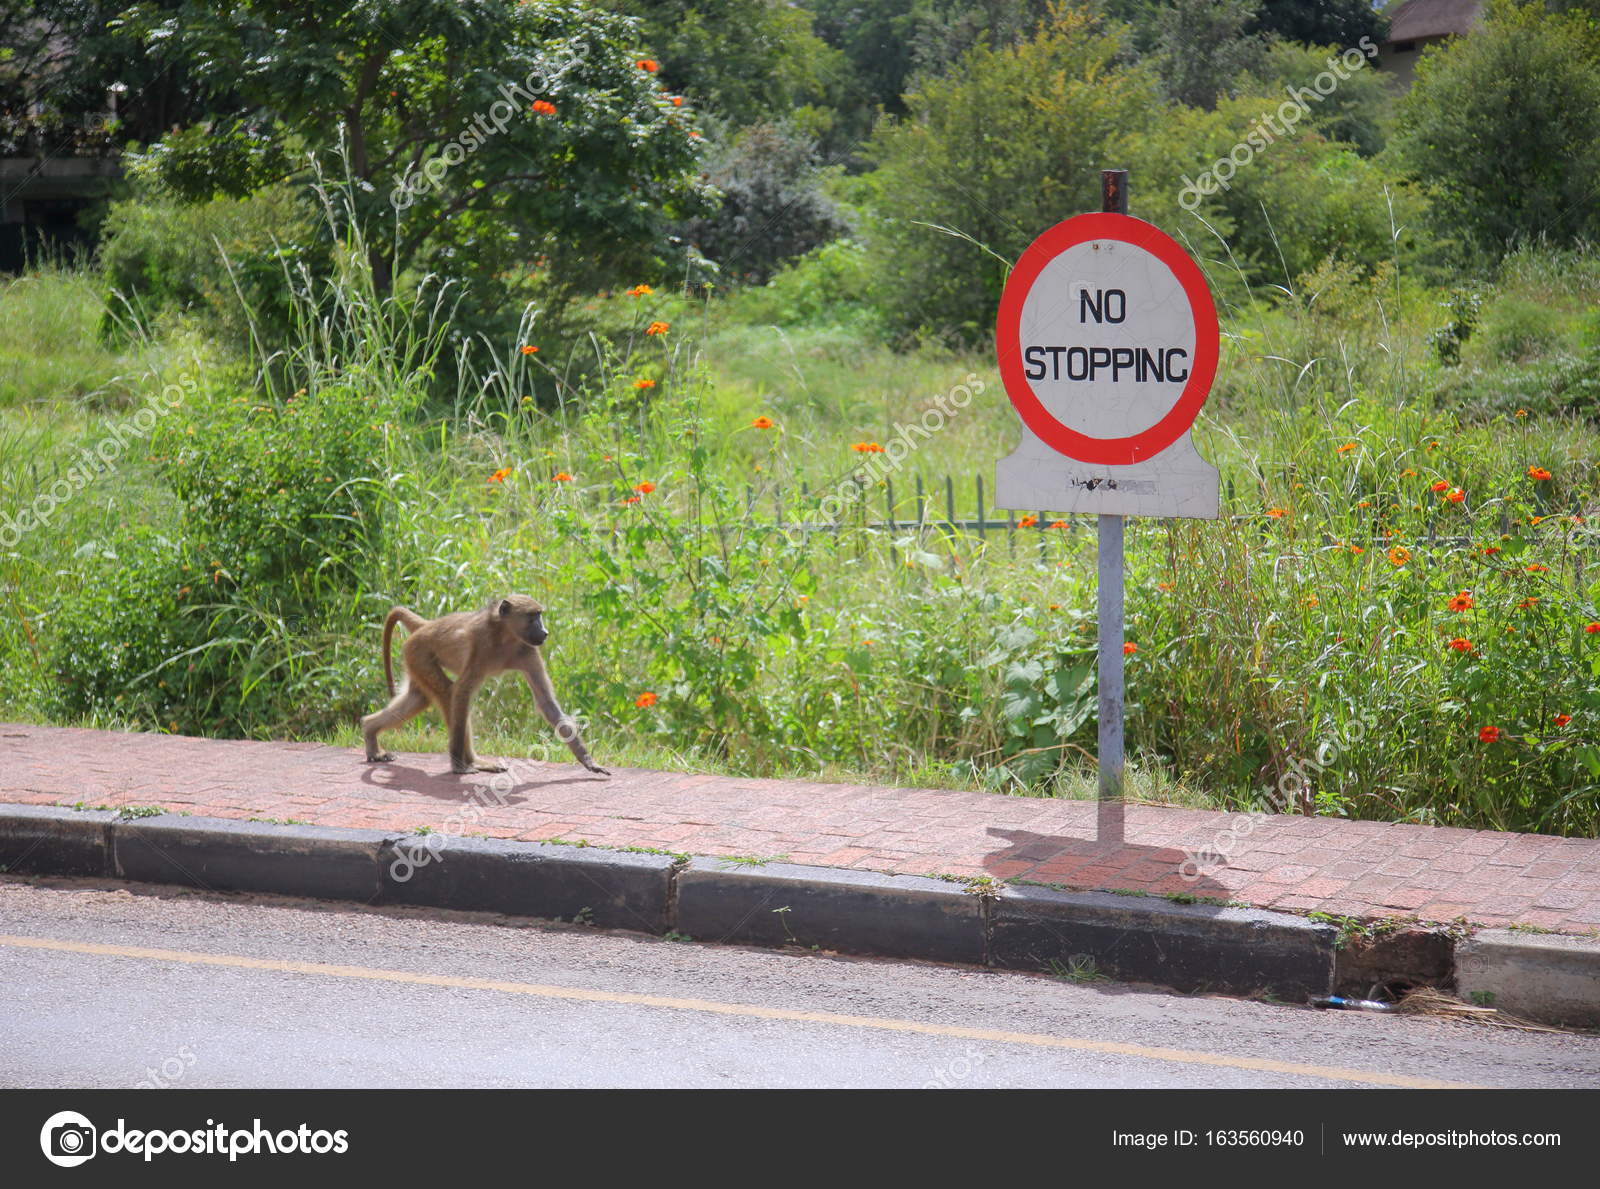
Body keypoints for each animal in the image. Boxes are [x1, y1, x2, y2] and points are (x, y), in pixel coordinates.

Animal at [361, 595, 610, 777]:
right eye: (533, 616)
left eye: (539, 615)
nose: (545, 632)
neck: (506, 636)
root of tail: (427, 625)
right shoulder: (482, 646)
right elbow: (462, 691)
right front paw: (458, 766)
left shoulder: (528, 651)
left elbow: (546, 702)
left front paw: (588, 761)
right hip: (418, 653)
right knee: (448, 695)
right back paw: (469, 762)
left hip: (415, 658)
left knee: (418, 698)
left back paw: (370, 732)